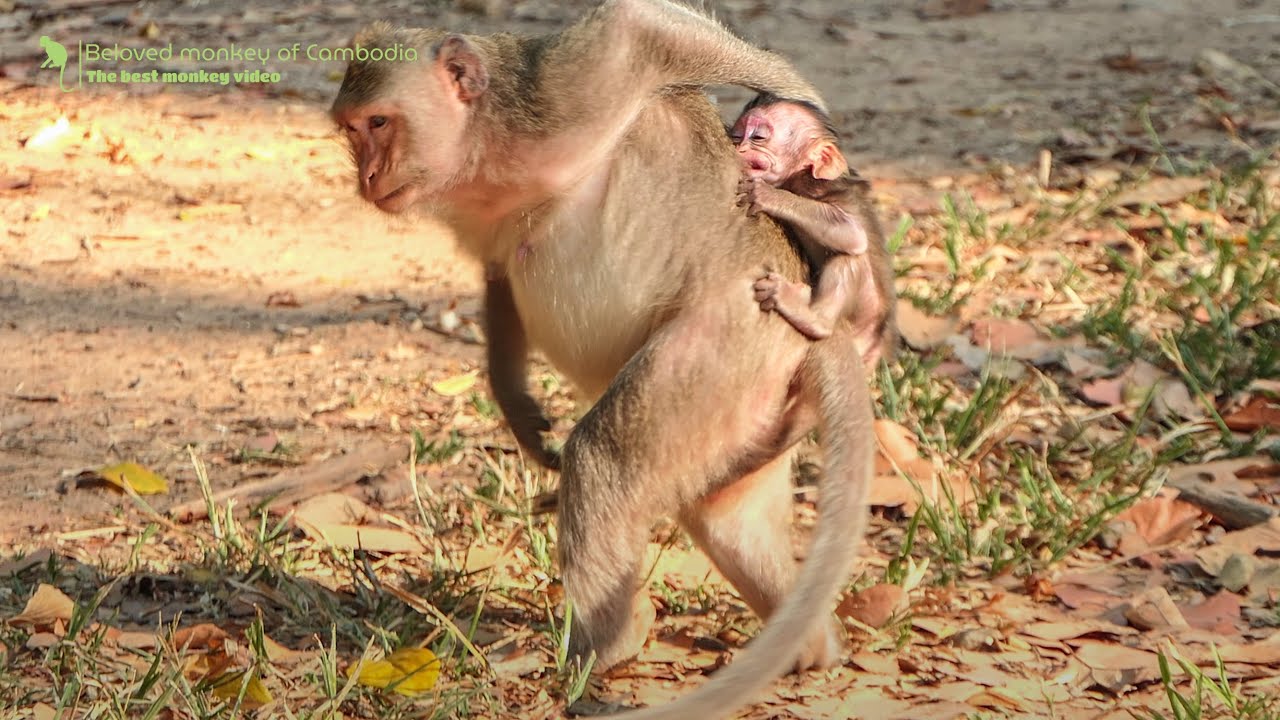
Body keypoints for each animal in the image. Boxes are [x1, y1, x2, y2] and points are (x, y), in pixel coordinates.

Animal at [331, 3, 875, 719]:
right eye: (352, 130)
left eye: (379, 123)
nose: (365, 177)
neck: (484, 152)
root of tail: (812, 324)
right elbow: (499, 274)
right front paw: (517, 407)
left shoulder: (562, 97)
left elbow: (640, 27)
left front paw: (806, 120)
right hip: (751, 410)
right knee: (723, 516)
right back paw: (807, 646)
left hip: (727, 343)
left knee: (603, 460)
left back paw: (606, 647)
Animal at [730, 95, 897, 369]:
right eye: (736, 136)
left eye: (758, 137)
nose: (739, 149)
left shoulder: (815, 188)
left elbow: (853, 234)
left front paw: (768, 196)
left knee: (850, 257)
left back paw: (812, 318)